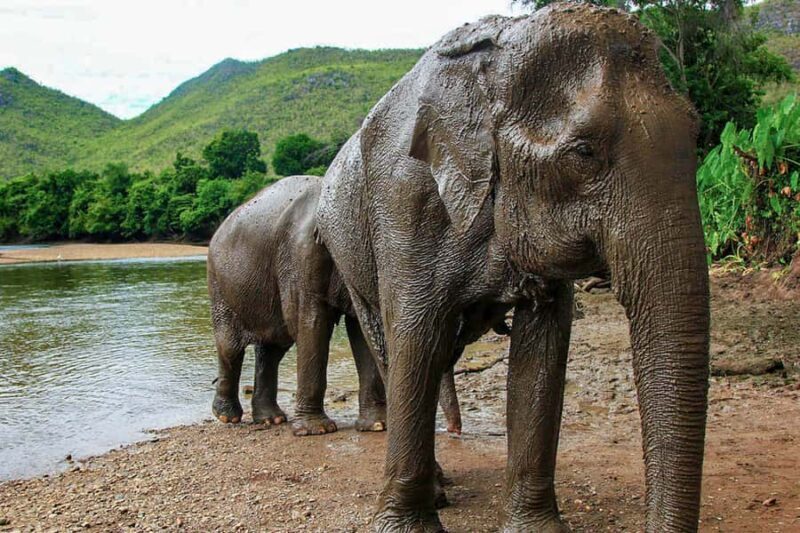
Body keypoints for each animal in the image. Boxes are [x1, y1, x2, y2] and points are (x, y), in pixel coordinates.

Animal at [207, 175, 463, 437]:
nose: (454, 430)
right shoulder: (301, 257)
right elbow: (311, 324)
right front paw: (316, 430)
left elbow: (360, 331)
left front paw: (378, 426)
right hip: (220, 288)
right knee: (231, 347)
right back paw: (228, 416)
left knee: (273, 349)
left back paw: (272, 419)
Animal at [316, 3, 710, 532]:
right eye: (584, 151)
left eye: (696, 132)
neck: (500, 49)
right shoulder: (404, 200)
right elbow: (416, 337)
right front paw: (408, 527)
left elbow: (542, 349)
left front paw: (535, 528)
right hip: (348, 247)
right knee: (392, 345)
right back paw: (437, 487)